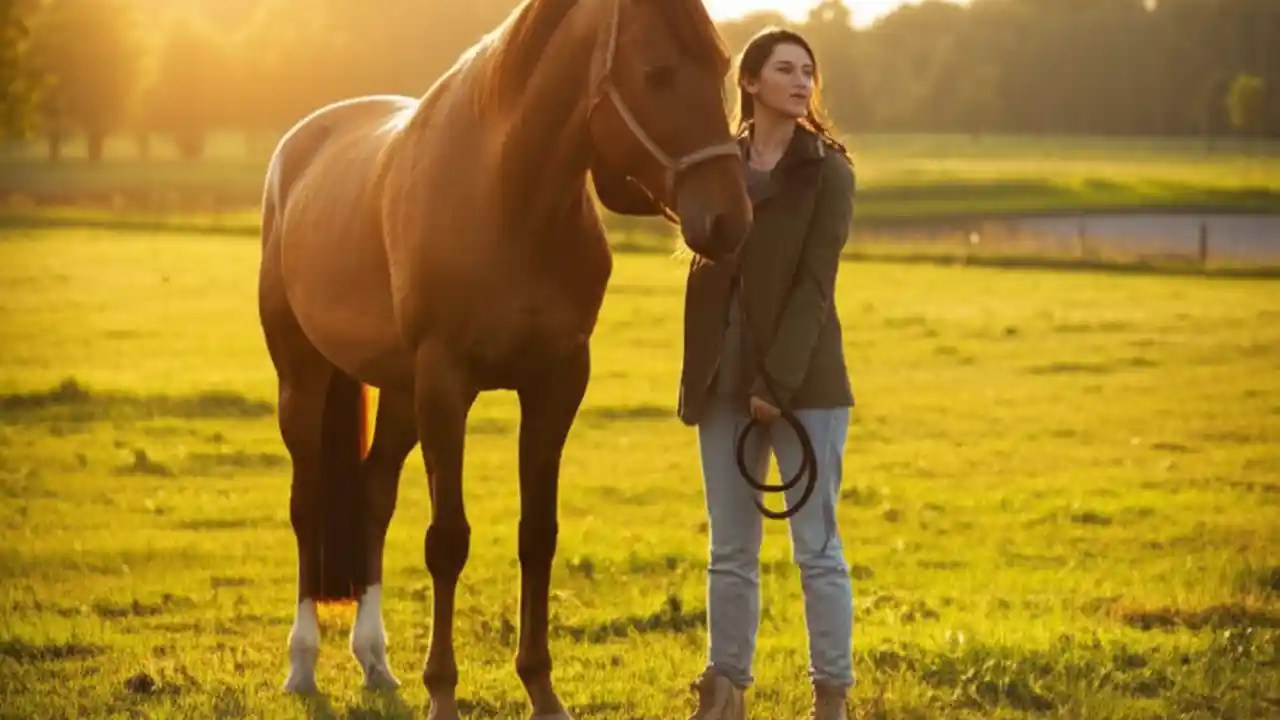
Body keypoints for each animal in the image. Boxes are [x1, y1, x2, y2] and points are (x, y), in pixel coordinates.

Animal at [257, 0, 751, 717]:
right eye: (657, 73)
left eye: (721, 70)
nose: (731, 221)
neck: (506, 200)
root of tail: (297, 149)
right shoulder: (446, 383)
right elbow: (447, 541)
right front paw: (442, 691)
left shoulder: (557, 383)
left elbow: (537, 536)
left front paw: (542, 689)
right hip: (304, 378)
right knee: (307, 503)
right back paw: (302, 665)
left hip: (401, 396)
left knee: (374, 496)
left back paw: (375, 662)